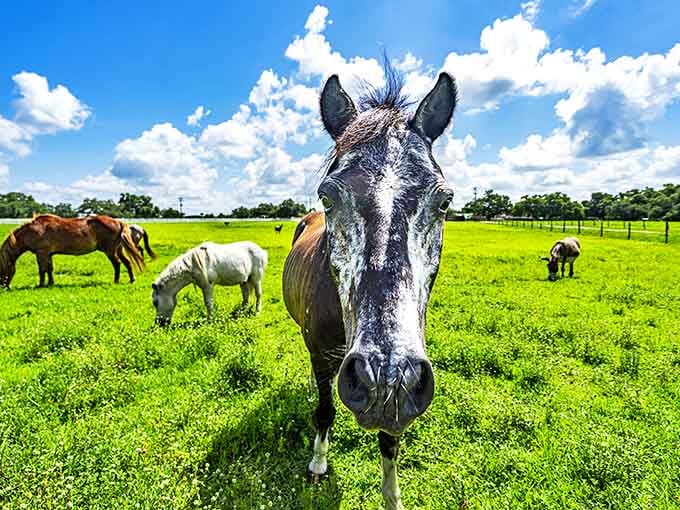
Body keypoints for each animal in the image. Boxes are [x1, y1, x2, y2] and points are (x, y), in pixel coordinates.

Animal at [0, 214, 144, 288]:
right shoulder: (48, 254)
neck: (33, 230)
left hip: (110, 251)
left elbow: (42, 270)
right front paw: (50, 283)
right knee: (127, 262)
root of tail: (119, 222)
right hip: (118, 250)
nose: (4, 286)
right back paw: (131, 280)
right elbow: (49, 269)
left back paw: (116, 281)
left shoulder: (41, 253)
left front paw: (41, 285)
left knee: (117, 264)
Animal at [282, 68, 457, 509]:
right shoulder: (321, 355)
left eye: (444, 201)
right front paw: (318, 464)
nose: (385, 377)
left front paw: (392, 497)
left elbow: (390, 439)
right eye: (328, 196)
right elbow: (324, 410)